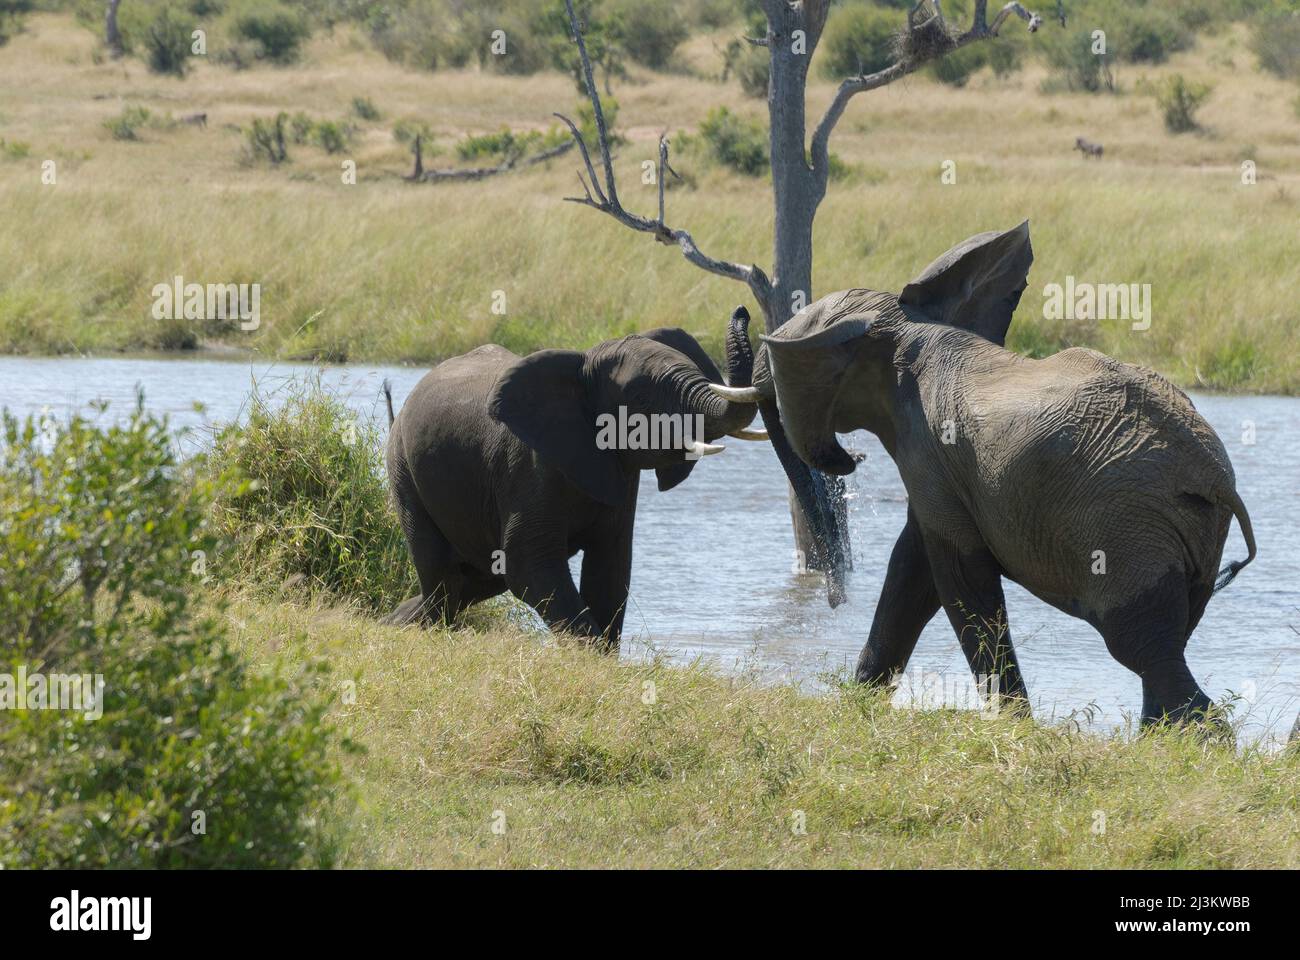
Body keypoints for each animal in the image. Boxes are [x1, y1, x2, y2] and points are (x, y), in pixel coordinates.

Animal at [381, 308, 766, 648]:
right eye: (641, 397)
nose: (743, 311)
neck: (583, 367)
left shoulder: (620, 472)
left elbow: (610, 569)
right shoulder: (529, 465)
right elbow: (528, 565)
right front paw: (592, 657)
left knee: (476, 578)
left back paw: (397, 621)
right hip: (403, 468)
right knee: (442, 573)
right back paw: (431, 630)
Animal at [718, 222, 1257, 726]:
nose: (833, 604)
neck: (906, 326)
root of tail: (1213, 476)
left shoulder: (927, 446)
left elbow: (956, 577)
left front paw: (1015, 727)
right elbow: (914, 567)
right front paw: (856, 705)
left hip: (1126, 529)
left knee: (1138, 643)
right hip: (1189, 534)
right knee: (1167, 639)